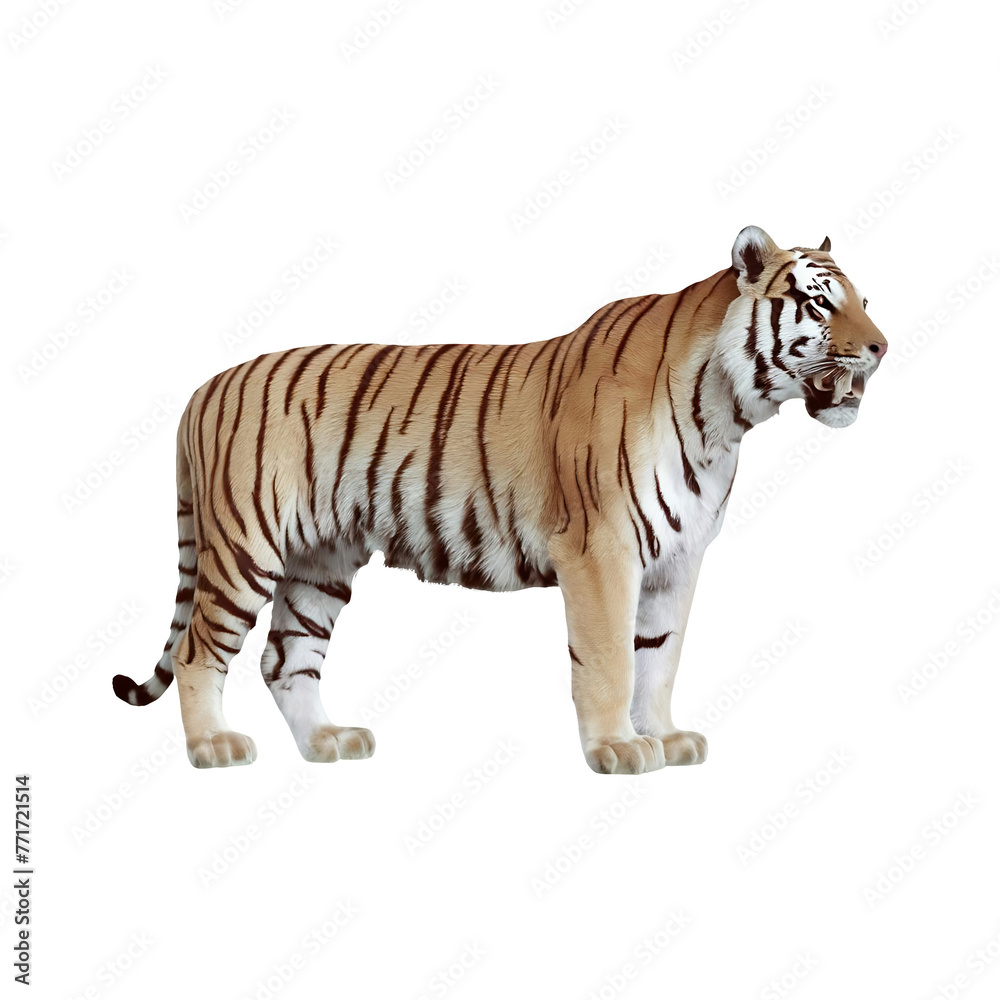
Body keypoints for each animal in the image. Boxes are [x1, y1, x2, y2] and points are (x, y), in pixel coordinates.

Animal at [113, 226, 887, 773]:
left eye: (864, 303)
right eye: (820, 301)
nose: (882, 348)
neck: (725, 413)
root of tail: (205, 386)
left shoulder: (679, 558)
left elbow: (659, 657)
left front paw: (666, 738)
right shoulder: (601, 549)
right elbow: (610, 658)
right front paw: (617, 750)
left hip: (320, 560)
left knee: (286, 659)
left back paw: (329, 741)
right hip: (245, 546)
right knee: (199, 649)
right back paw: (214, 747)